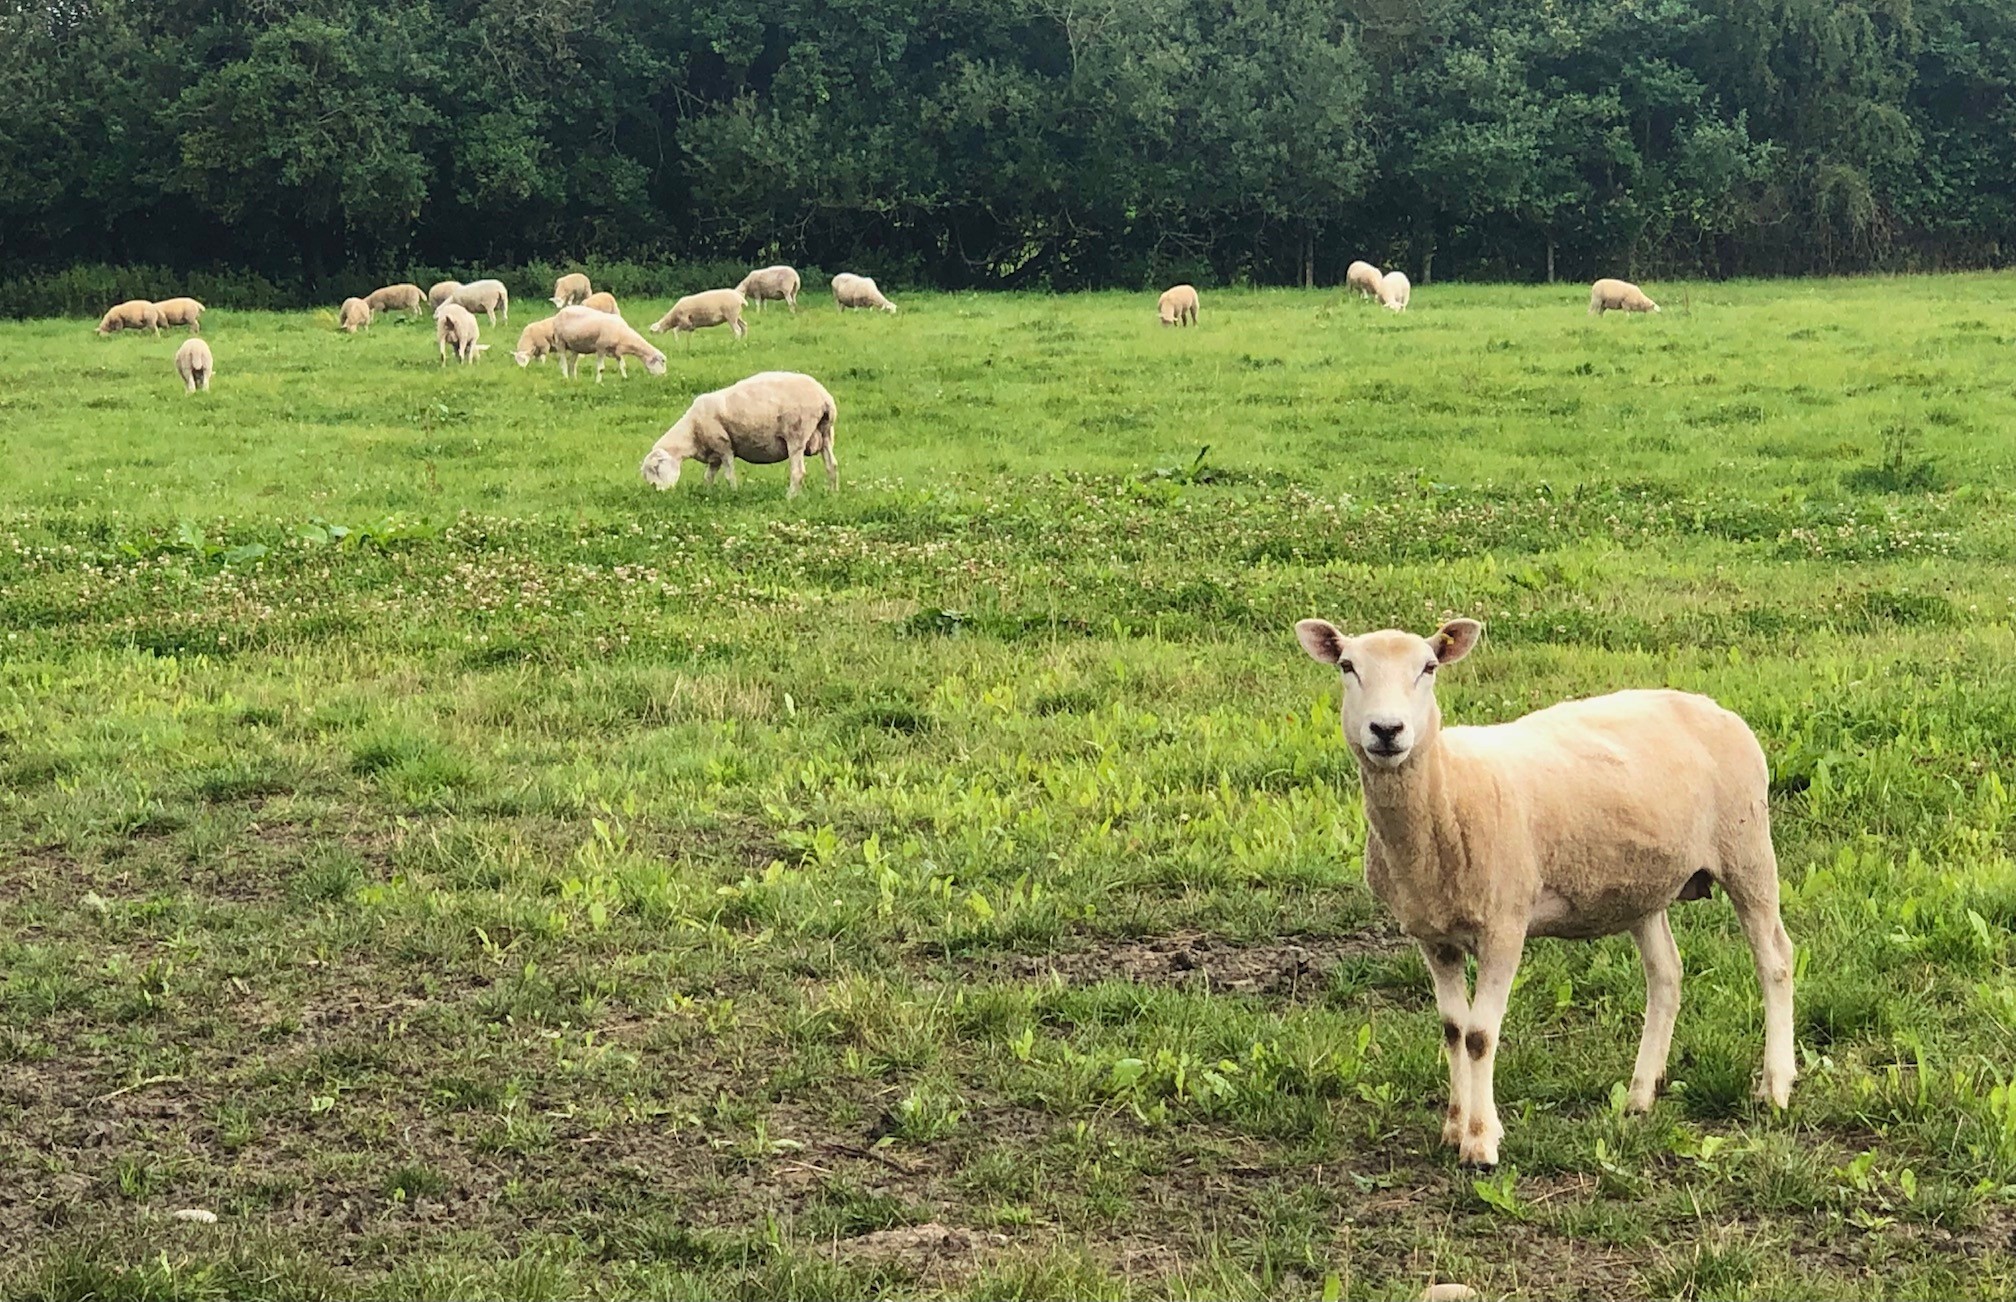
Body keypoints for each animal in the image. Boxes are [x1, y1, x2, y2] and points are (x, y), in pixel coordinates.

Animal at [639, 371, 837, 498]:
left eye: (655, 469)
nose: (659, 493)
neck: (691, 433)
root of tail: (824, 398)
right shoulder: (714, 455)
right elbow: (708, 476)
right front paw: (707, 492)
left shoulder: (723, 445)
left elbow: (729, 475)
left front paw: (734, 493)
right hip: (826, 433)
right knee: (832, 465)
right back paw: (833, 493)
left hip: (796, 433)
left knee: (798, 472)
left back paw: (790, 497)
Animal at [1293, 617, 1795, 1170]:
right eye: (1347, 667)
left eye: (1428, 668)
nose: (1387, 730)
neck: (1447, 787)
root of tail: (1711, 706)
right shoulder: (1432, 935)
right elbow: (1452, 1028)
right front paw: (1453, 1127)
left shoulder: (1505, 925)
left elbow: (1479, 1035)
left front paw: (1481, 1141)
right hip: (1642, 886)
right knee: (1666, 975)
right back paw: (1640, 1095)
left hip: (1747, 848)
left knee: (1775, 959)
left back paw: (1775, 1086)